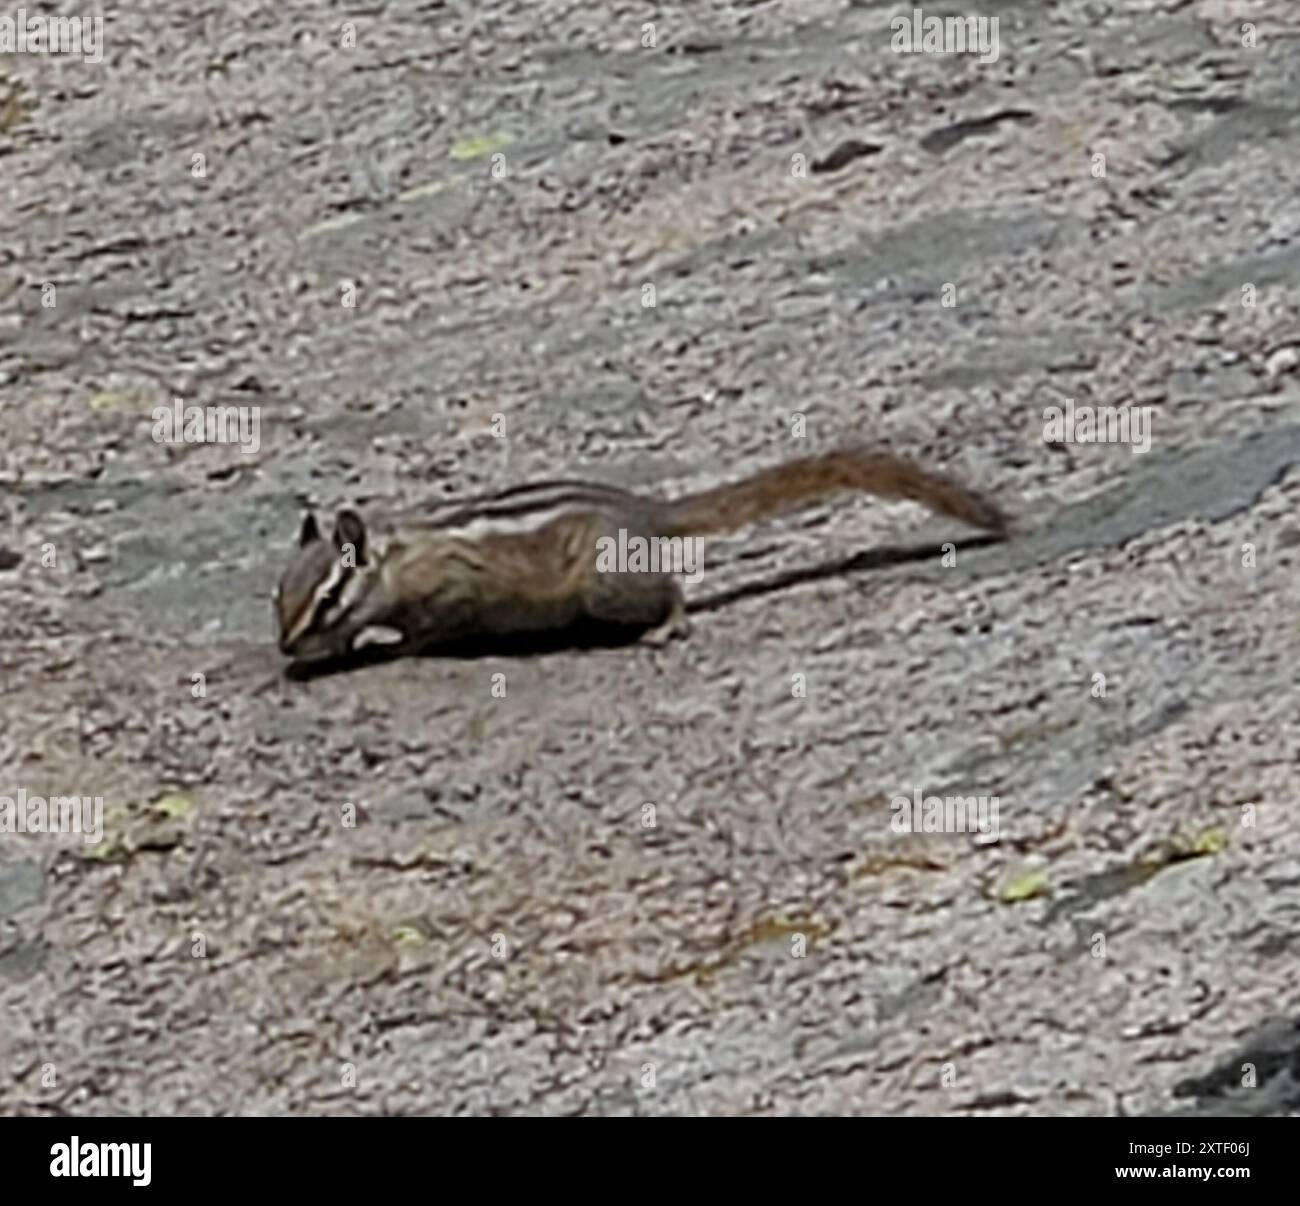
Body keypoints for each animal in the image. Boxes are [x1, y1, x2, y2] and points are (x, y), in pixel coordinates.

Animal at [274, 446, 1009, 663]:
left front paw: (391, 644)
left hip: (604, 586)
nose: (286, 648)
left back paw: (669, 623)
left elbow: (433, 628)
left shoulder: (450, 588)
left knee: (671, 589)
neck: (396, 558)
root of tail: (646, 513)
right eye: (279, 595)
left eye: (328, 597)